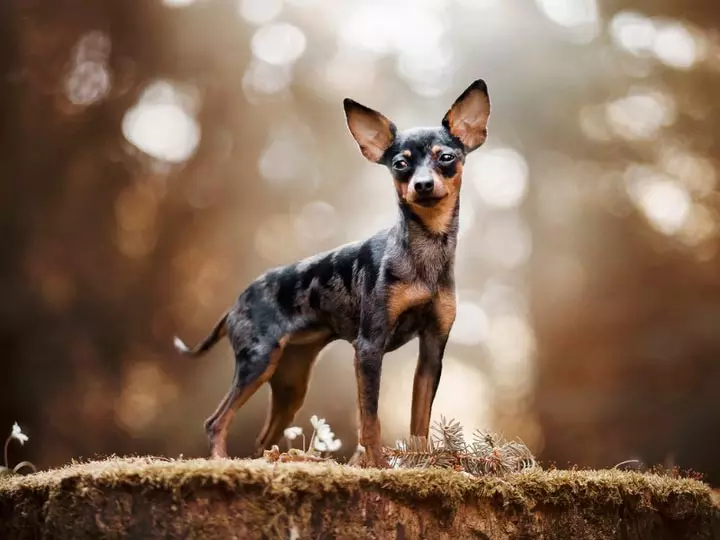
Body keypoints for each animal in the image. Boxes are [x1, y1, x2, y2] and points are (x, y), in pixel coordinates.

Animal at [174, 80, 490, 468]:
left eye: (445, 158)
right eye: (400, 164)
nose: (423, 185)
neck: (425, 249)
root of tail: (235, 305)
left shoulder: (431, 352)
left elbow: (420, 422)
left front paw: (419, 465)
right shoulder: (369, 347)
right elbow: (370, 421)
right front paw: (378, 467)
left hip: (290, 381)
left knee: (263, 439)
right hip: (258, 361)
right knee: (216, 421)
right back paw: (221, 462)